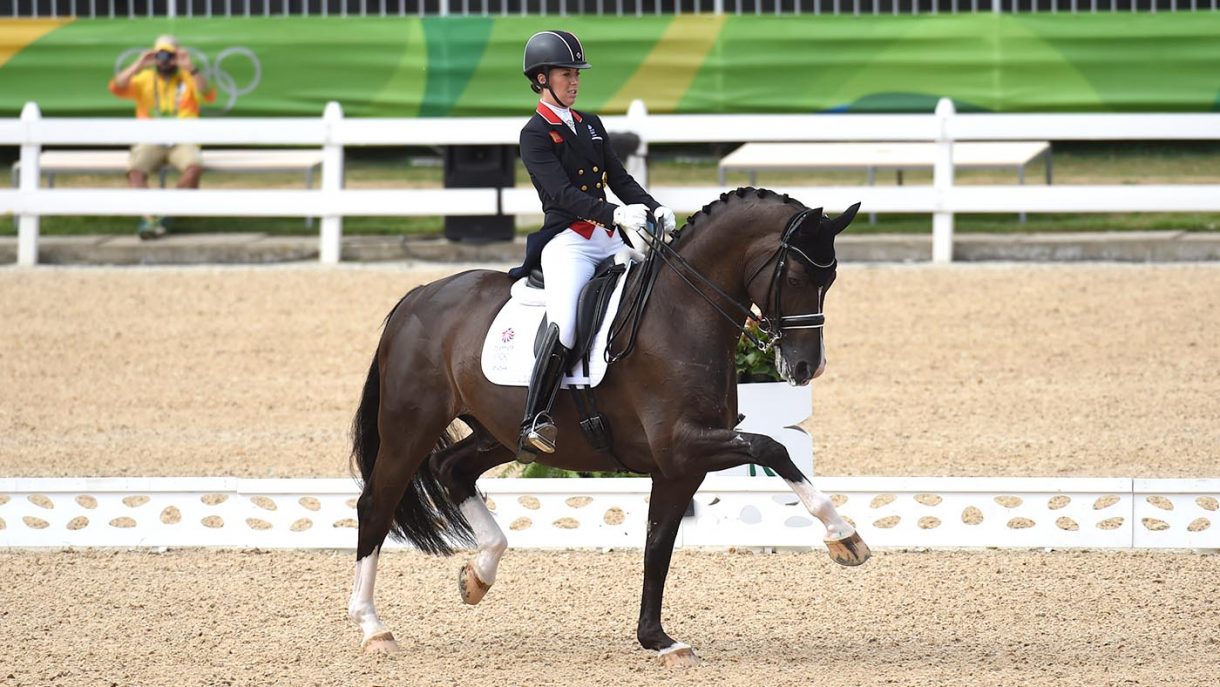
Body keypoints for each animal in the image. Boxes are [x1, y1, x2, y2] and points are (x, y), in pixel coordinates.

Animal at [347, 187, 869, 666]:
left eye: (831, 278)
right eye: (797, 276)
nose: (806, 367)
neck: (682, 312)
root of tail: (419, 296)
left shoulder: (679, 468)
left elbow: (658, 546)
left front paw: (658, 639)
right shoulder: (683, 446)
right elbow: (772, 448)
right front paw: (845, 537)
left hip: (501, 434)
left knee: (451, 467)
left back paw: (478, 575)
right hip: (409, 426)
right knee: (377, 505)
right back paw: (373, 627)